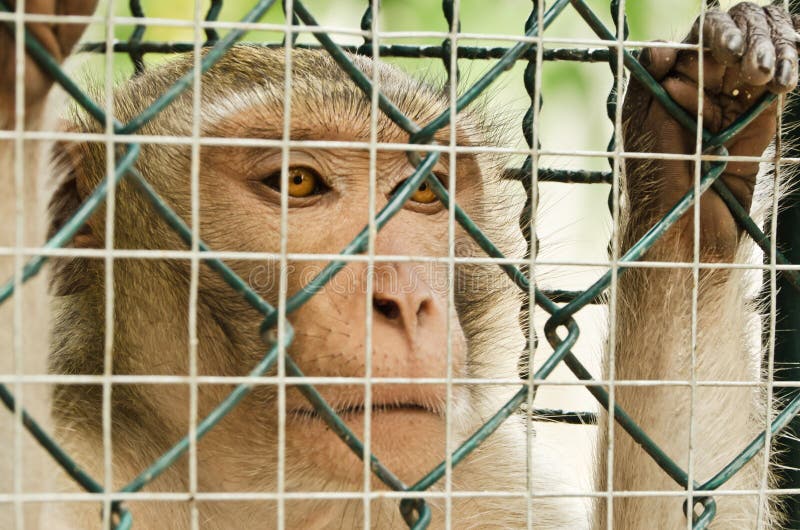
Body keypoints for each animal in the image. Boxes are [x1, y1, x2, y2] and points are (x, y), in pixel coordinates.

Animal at [0, 1, 798, 529]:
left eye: (424, 192)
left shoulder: (487, 488)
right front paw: (19, 79)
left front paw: (693, 159)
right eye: (296, 182)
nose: (407, 303)